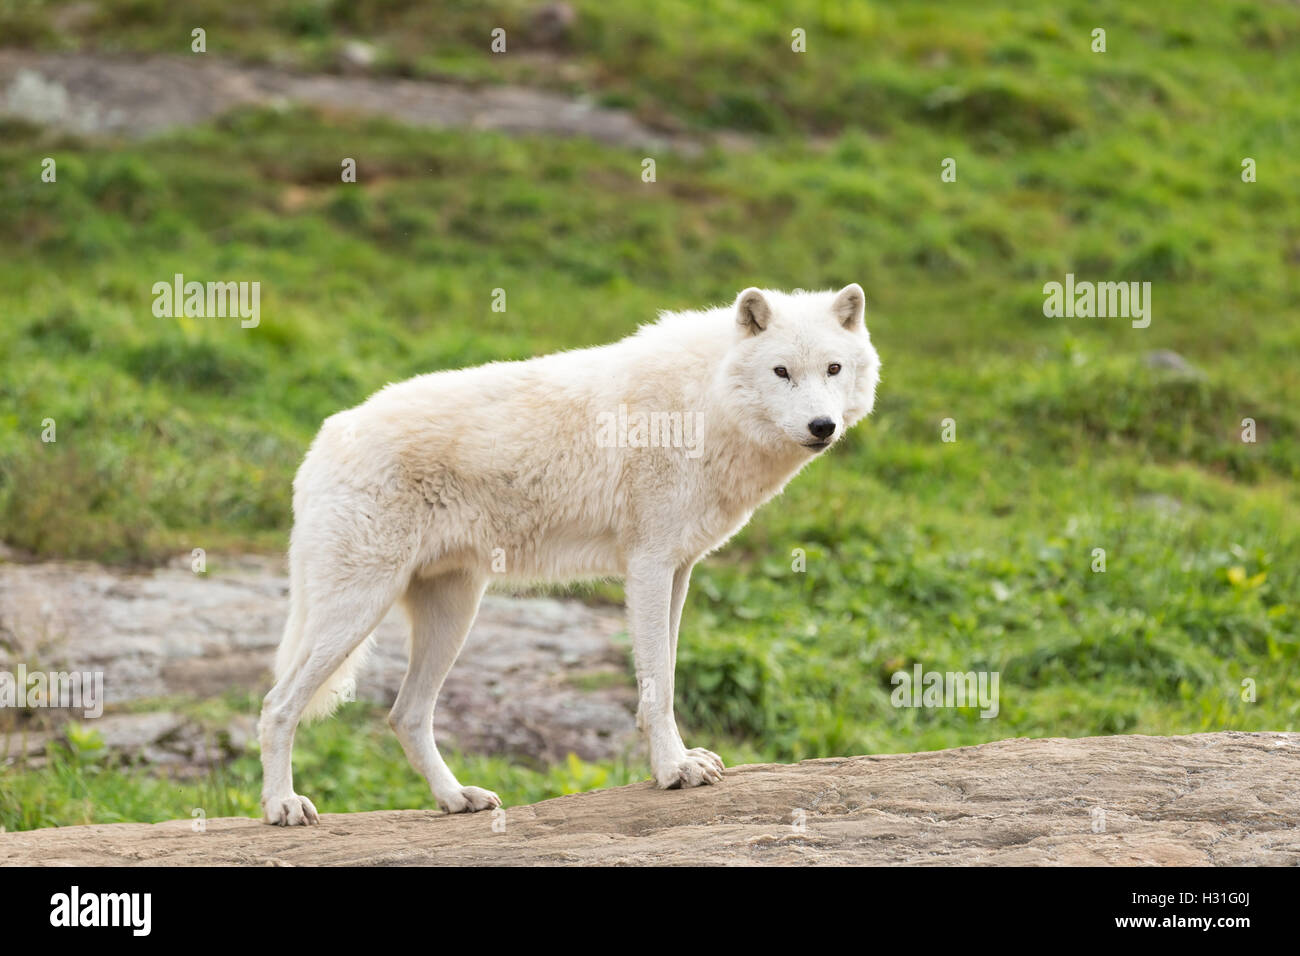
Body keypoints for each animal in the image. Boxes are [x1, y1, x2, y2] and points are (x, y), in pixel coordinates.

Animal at [258, 285, 881, 824]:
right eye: (781, 372)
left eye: (833, 369)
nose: (822, 426)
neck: (703, 402)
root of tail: (325, 437)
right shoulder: (648, 567)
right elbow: (658, 685)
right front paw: (673, 770)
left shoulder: (679, 570)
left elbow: (662, 682)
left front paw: (673, 761)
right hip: (358, 610)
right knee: (277, 705)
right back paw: (283, 806)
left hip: (452, 613)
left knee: (405, 715)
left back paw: (456, 798)